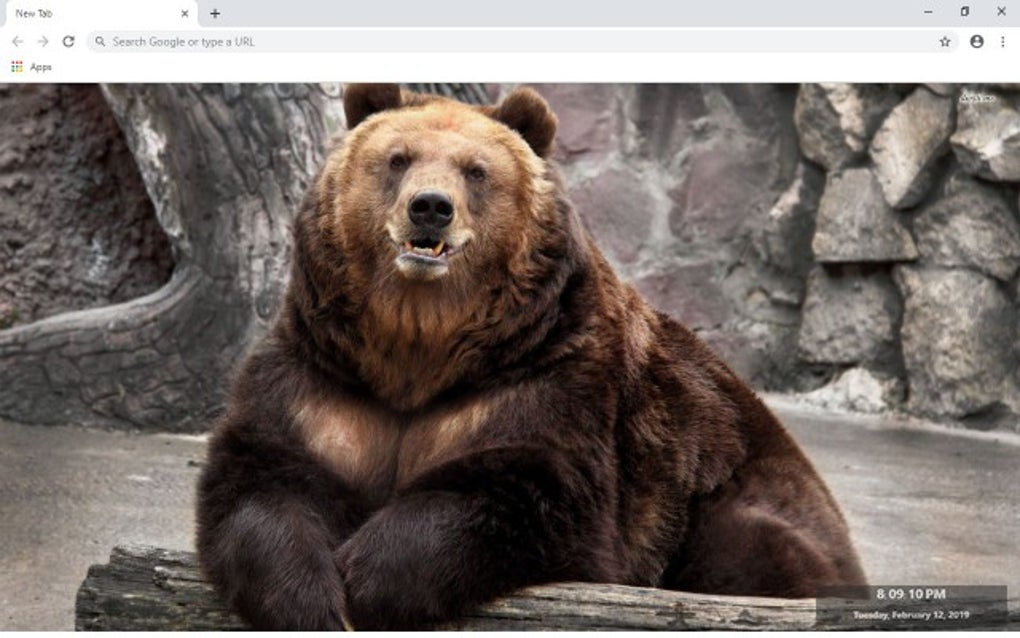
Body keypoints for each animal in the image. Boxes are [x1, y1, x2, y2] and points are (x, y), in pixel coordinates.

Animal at [196, 83, 867, 631]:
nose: (430, 206)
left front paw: (365, 580)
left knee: (757, 553)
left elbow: (520, 487)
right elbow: (265, 477)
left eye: (475, 170)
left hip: (730, 490)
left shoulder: (545, 375)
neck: (417, 348)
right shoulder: (327, 379)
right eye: (398, 158)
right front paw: (309, 599)